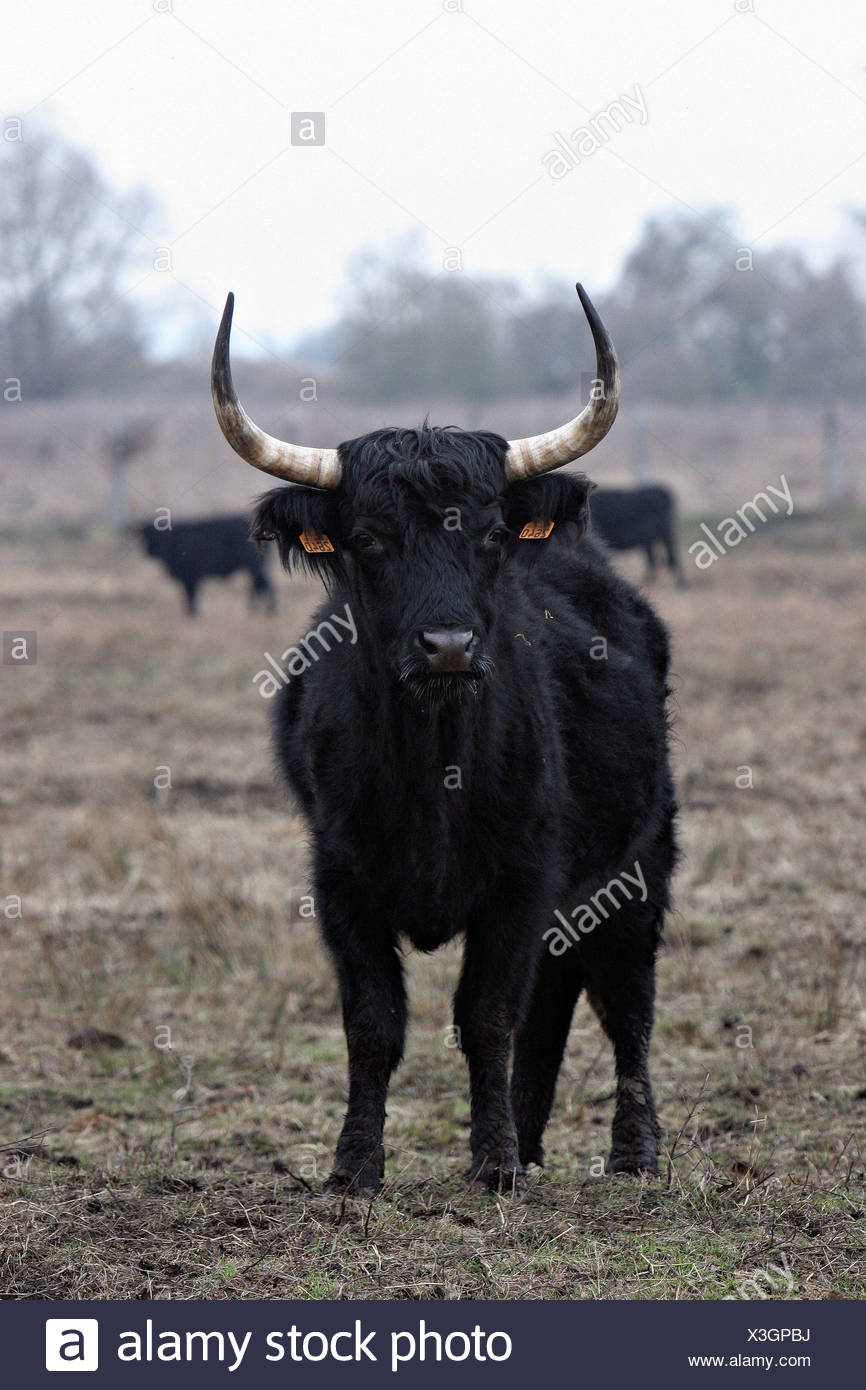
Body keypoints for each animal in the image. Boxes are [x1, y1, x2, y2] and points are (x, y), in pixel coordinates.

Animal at [139, 514, 274, 615]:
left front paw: (192, 614)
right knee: (258, 586)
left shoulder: (191, 577)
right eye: (146, 537)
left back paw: (268, 611)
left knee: (265, 585)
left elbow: (191, 597)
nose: (149, 551)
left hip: (255, 567)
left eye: (162, 536)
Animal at [211, 285, 677, 1195]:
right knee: (557, 1004)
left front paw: (492, 1161)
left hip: (639, 869)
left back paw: (630, 1152)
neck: (434, 769)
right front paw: (356, 1165)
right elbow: (374, 1022)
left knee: (624, 1002)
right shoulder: (340, 880)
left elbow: (488, 1015)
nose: (449, 647)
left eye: (490, 535)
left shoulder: (524, 882)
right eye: (368, 539)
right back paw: (534, 1140)